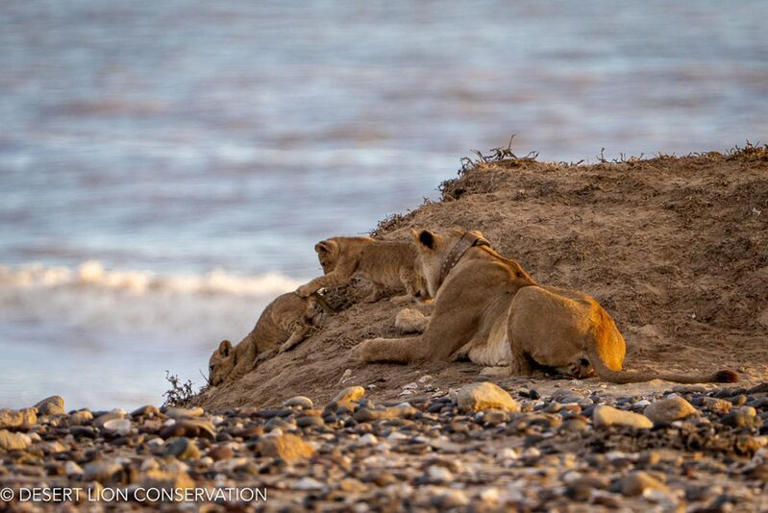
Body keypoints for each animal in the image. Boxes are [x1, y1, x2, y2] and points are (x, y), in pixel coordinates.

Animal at [295, 236, 427, 303]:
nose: (326, 272)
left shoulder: (341, 275)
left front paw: (302, 290)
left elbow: (320, 279)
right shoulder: (376, 276)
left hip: (406, 271)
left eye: (323, 263)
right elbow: (377, 287)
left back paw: (398, 299)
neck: (342, 247)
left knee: (415, 293)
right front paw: (372, 298)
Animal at [354, 228, 738, 384]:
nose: (415, 290)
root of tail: (598, 335)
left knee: (521, 370)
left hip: (525, 298)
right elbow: (415, 321)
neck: (467, 253)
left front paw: (362, 347)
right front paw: (405, 315)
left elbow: (385, 346)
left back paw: (488, 372)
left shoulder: (432, 346)